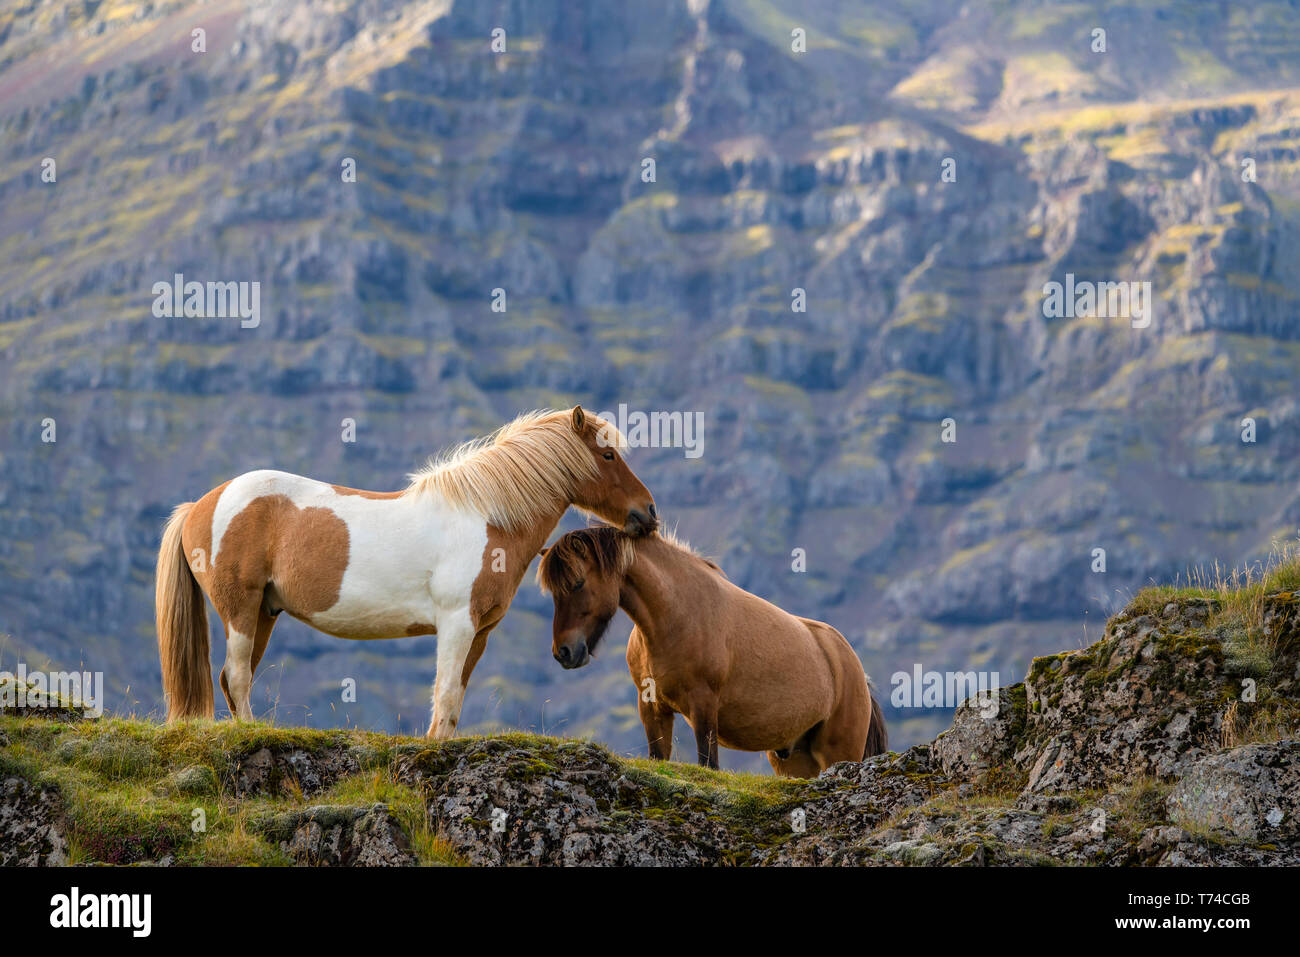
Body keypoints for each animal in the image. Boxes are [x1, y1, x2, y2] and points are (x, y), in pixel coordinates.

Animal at [155, 406, 657, 738]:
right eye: (608, 456)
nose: (647, 513)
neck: (487, 517)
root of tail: (200, 505)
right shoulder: (456, 625)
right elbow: (446, 694)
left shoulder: (479, 632)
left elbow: (453, 699)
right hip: (240, 610)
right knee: (236, 676)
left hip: (263, 612)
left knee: (232, 679)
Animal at [537, 527, 887, 776]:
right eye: (552, 592)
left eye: (578, 583)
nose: (564, 652)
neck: (676, 614)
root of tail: (855, 668)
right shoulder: (652, 706)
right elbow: (658, 757)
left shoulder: (703, 706)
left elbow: (709, 764)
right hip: (794, 759)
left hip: (838, 752)